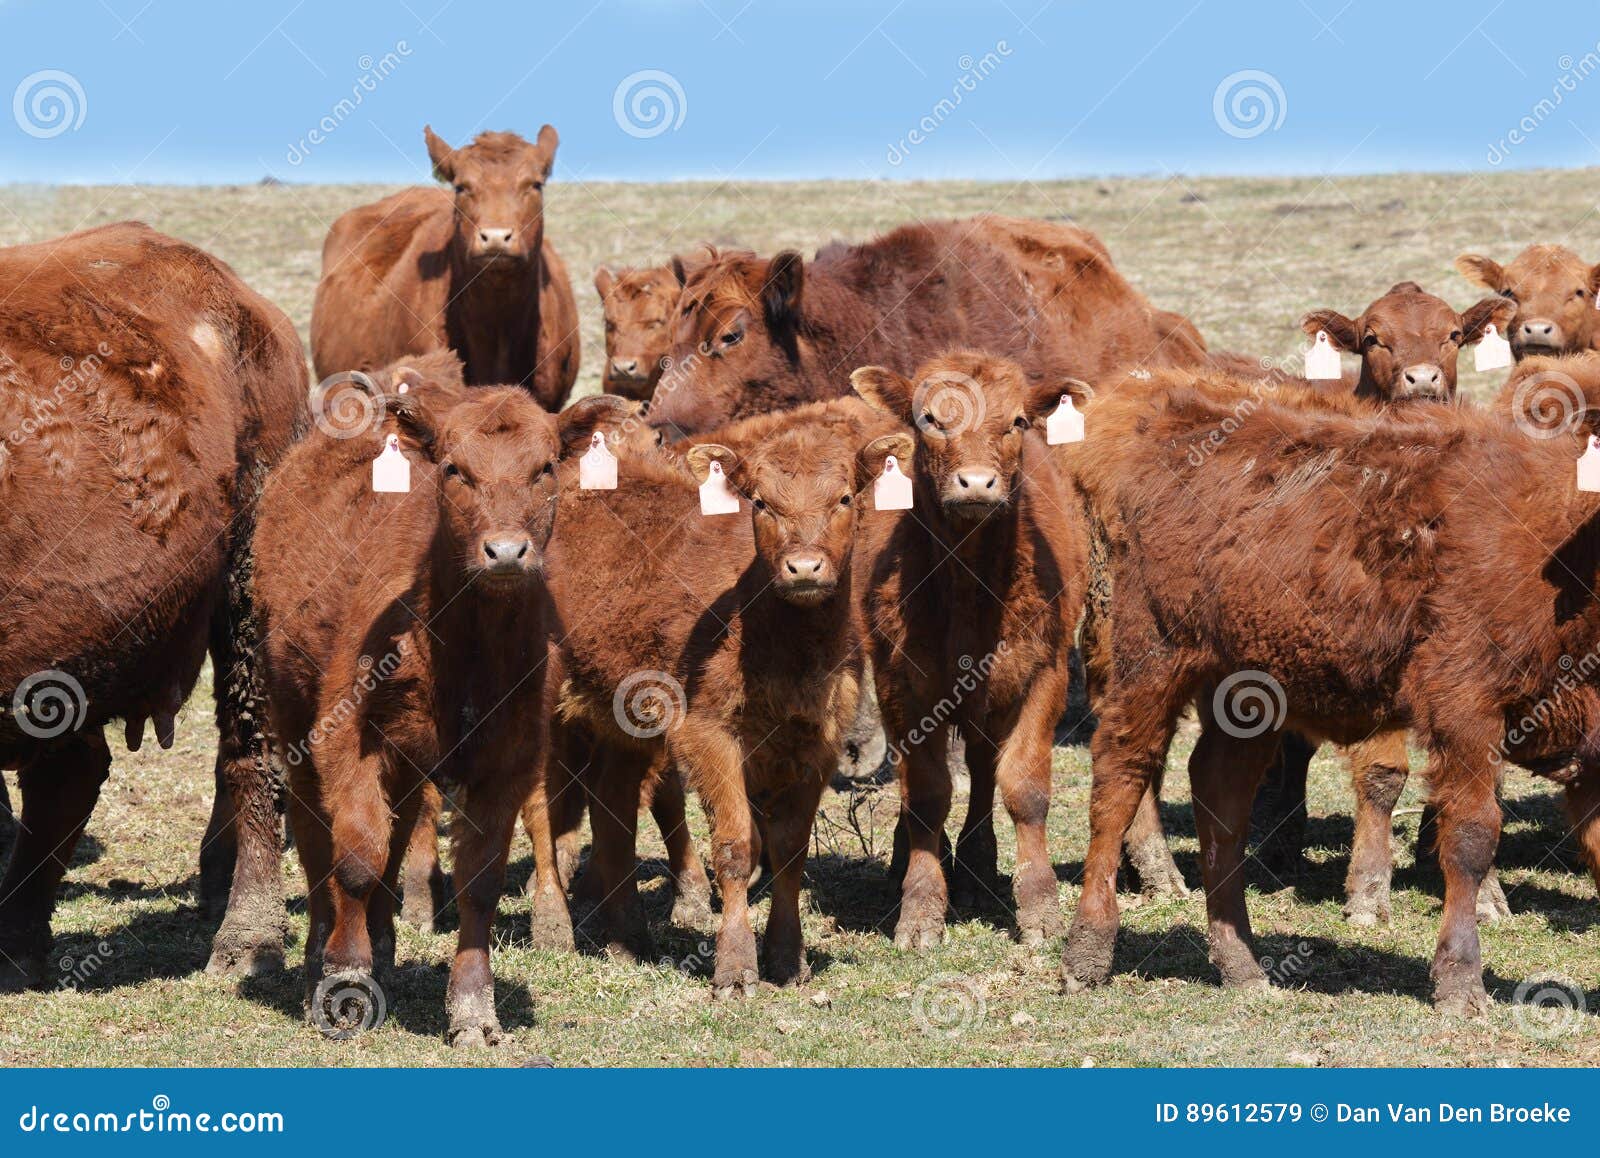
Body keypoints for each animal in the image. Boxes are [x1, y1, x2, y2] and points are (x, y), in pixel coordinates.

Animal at [255, 370, 604, 1045]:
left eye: (546, 467)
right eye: (453, 468)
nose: (506, 552)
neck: (466, 647)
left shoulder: (510, 757)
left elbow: (481, 880)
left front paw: (472, 1009)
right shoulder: (348, 738)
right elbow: (356, 859)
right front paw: (343, 980)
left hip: (410, 758)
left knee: (400, 826)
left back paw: (384, 945)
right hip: (292, 711)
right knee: (316, 838)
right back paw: (319, 953)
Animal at [523, 398, 910, 995]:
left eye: (845, 498)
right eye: (761, 502)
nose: (804, 567)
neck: (781, 638)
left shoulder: (817, 745)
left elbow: (790, 850)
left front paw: (788, 958)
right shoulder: (709, 733)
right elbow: (736, 846)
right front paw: (735, 967)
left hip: (621, 716)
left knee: (613, 807)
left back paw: (629, 939)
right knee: (541, 805)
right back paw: (552, 925)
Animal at [849, 352, 1087, 948]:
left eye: (1017, 422)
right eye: (929, 419)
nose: (977, 482)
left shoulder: (1044, 672)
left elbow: (1024, 788)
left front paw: (1040, 908)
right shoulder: (901, 683)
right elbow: (927, 794)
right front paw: (920, 908)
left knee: (982, 769)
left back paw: (978, 867)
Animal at [1063, 358, 1600, 1015]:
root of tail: (1162, 417)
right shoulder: (1466, 705)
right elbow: (1472, 837)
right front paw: (1460, 982)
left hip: (1248, 694)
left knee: (1220, 796)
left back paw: (1242, 963)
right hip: (1151, 662)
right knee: (1120, 776)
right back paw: (1087, 952)